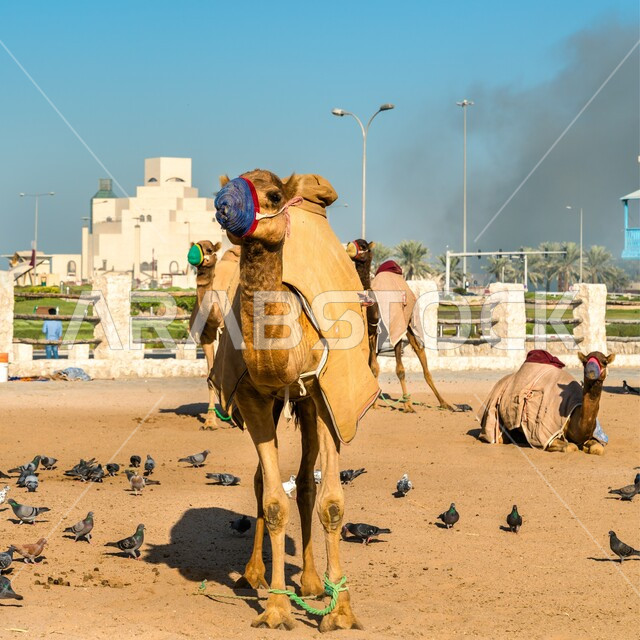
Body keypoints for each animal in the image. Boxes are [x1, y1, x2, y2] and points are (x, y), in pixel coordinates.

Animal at [187, 240, 239, 427]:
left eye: (209, 249)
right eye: (196, 245)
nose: (194, 256)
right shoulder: (207, 336)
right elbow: (211, 376)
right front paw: (210, 421)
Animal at [210, 170, 377, 631]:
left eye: (272, 196)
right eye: (223, 189)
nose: (224, 206)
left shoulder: (328, 397)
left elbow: (332, 504)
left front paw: (340, 612)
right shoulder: (251, 397)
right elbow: (271, 501)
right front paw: (276, 609)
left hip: (309, 406)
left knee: (305, 483)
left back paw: (314, 583)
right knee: (263, 483)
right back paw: (255, 576)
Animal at [347, 239, 453, 412]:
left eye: (363, 246)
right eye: (354, 241)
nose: (348, 246)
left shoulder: (396, 332)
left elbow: (400, 370)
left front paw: (408, 405)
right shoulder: (372, 334)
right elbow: (373, 367)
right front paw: (374, 404)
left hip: (409, 323)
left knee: (420, 352)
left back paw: (444, 403)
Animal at [479, 350, 615, 454]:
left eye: (605, 362)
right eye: (584, 362)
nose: (591, 371)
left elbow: (598, 448)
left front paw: (588, 448)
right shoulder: (547, 436)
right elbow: (571, 447)